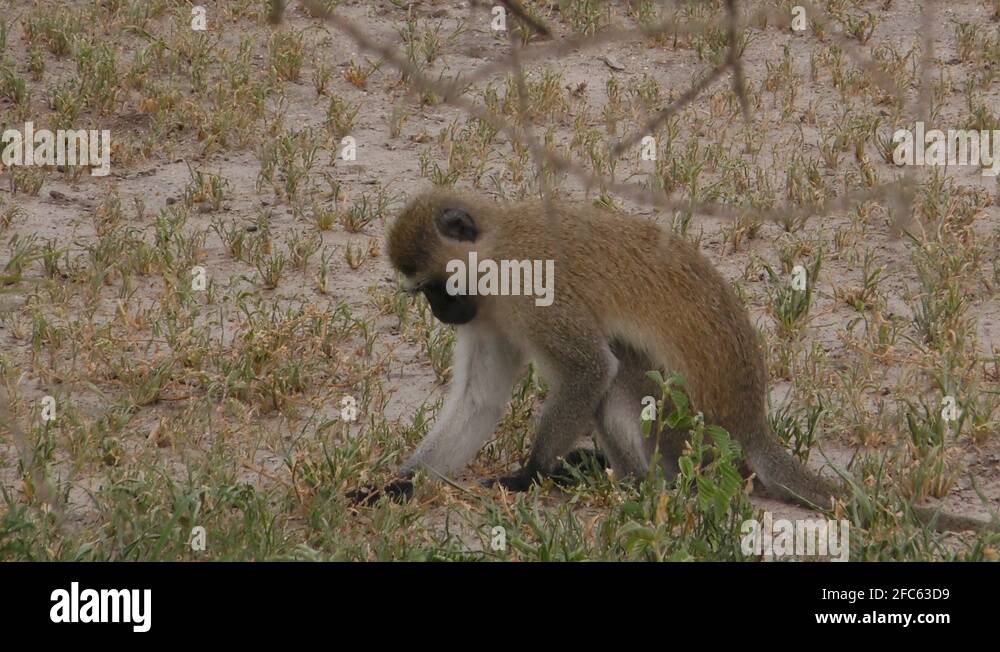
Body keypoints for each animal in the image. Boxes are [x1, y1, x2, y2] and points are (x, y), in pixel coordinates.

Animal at [357, 188, 994, 533]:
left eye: (436, 287)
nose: (443, 314)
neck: (493, 251)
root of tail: (748, 424)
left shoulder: (535, 293)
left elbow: (590, 371)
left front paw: (527, 475)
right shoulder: (489, 315)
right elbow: (479, 400)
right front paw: (395, 487)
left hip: (690, 434)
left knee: (620, 378)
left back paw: (632, 484)